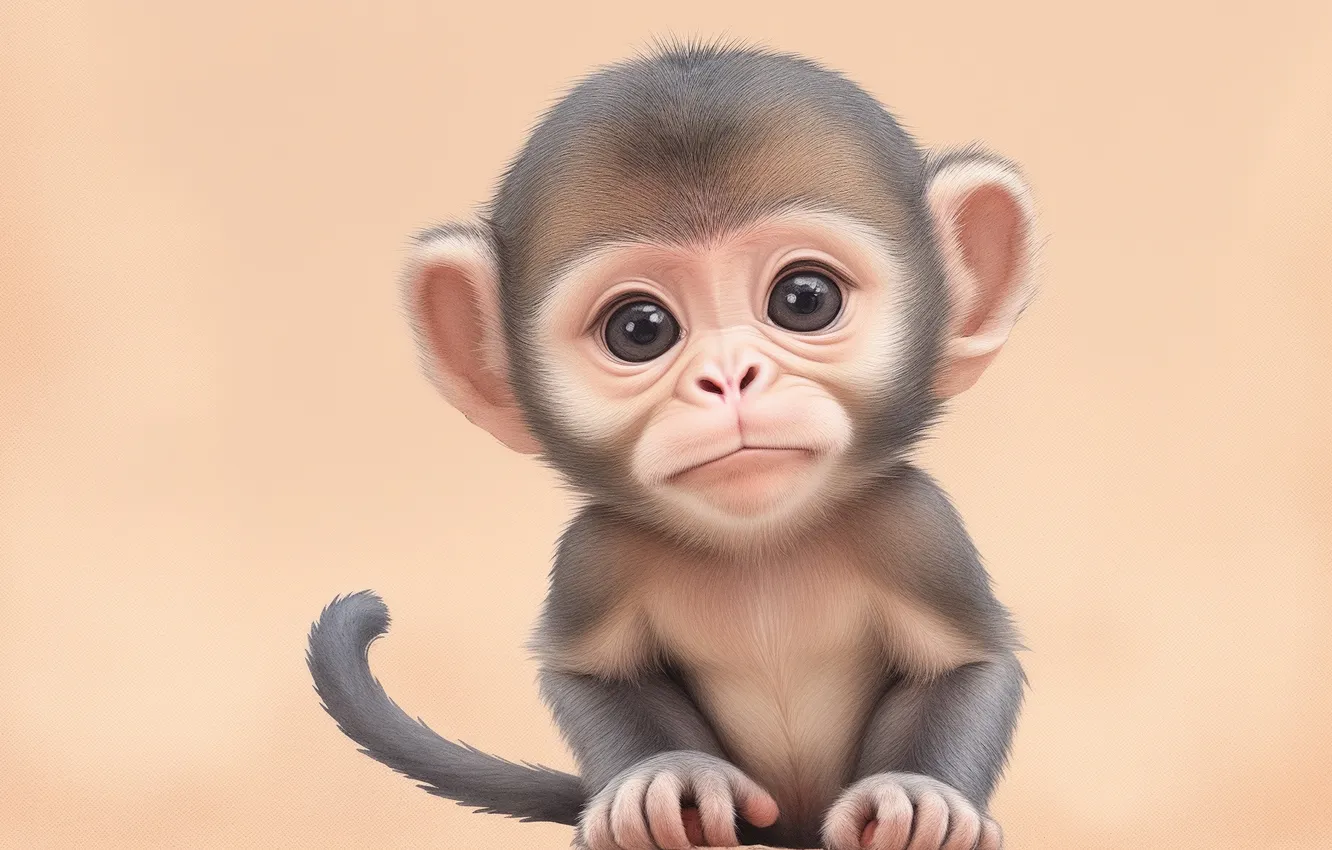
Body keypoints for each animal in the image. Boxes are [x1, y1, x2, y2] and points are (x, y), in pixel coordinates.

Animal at [306, 40, 1039, 850]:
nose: (728, 377)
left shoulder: (916, 524)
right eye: (639, 329)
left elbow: (969, 664)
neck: (761, 550)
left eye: (805, 299)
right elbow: (594, 678)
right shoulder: (595, 555)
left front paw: (918, 796)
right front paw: (666, 777)